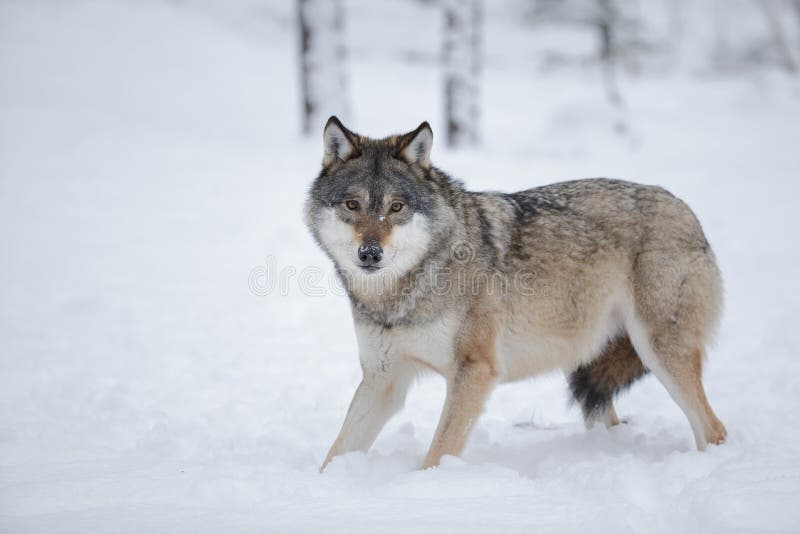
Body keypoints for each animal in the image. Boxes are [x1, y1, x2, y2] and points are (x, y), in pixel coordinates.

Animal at [305, 116, 727, 471]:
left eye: (396, 208)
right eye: (353, 204)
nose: (370, 253)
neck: (400, 295)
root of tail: (686, 209)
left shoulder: (474, 371)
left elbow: (438, 453)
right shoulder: (383, 380)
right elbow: (336, 451)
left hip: (659, 353)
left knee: (714, 429)